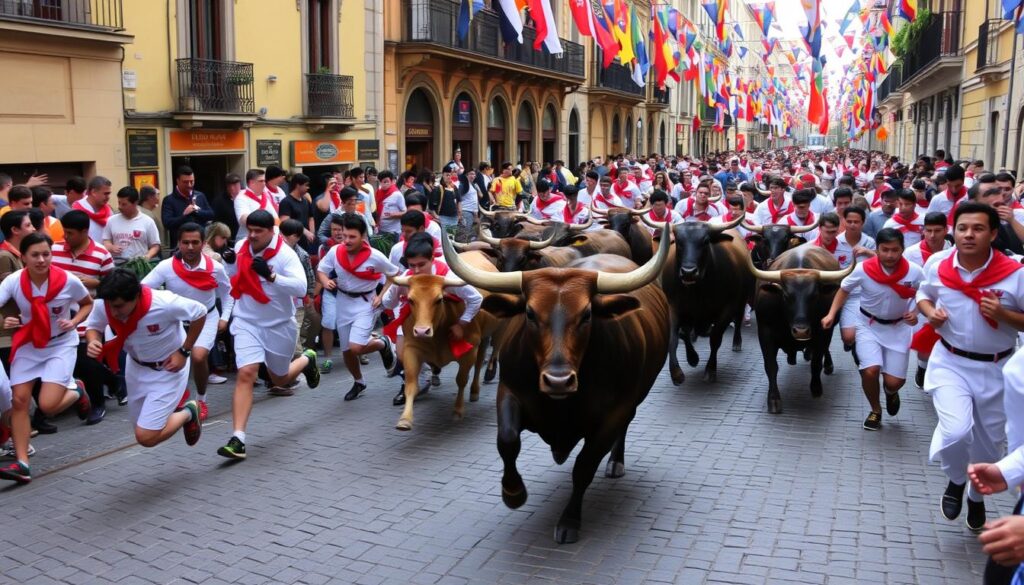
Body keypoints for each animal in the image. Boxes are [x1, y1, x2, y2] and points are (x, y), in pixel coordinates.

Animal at [442, 228, 671, 545]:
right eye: (529, 313)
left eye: (587, 315)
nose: (558, 380)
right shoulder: (510, 392)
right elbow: (507, 440)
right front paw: (513, 493)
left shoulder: (614, 414)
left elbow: (584, 466)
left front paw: (569, 521)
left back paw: (616, 462)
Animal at [745, 244, 856, 413]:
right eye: (785, 296)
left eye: (815, 295)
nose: (801, 331)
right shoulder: (765, 333)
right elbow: (771, 366)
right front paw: (774, 399)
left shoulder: (824, 332)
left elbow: (816, 362)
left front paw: (816, 388)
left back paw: (827, 365)